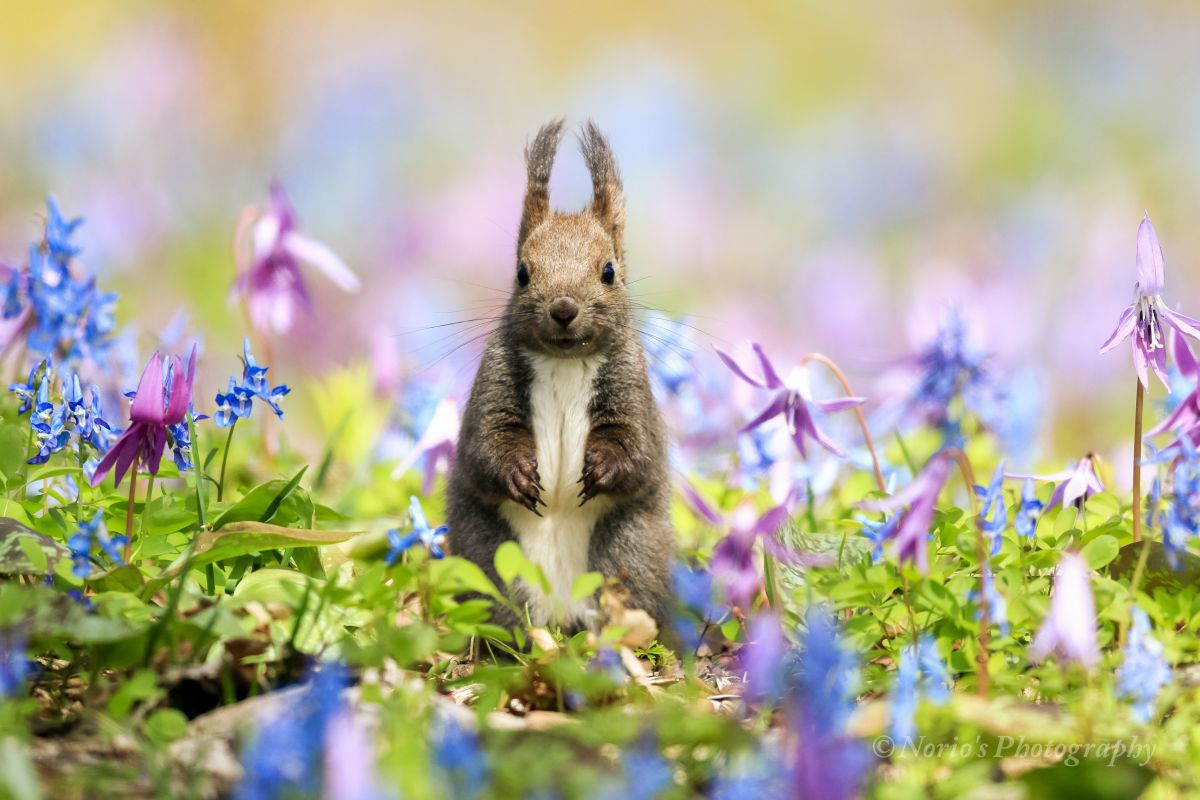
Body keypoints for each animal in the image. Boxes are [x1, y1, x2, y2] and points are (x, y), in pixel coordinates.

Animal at [446, 119, 675, 634]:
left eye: (609, 271)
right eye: (521, 272)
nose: (564, 309)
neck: (566, 363)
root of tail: (561, 616)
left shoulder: (631, 385)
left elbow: (635, 447)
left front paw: (602, 468)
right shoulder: (495, 382)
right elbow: (487, 443)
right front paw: (517, 474)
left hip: (628, 550)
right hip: (491, 562)